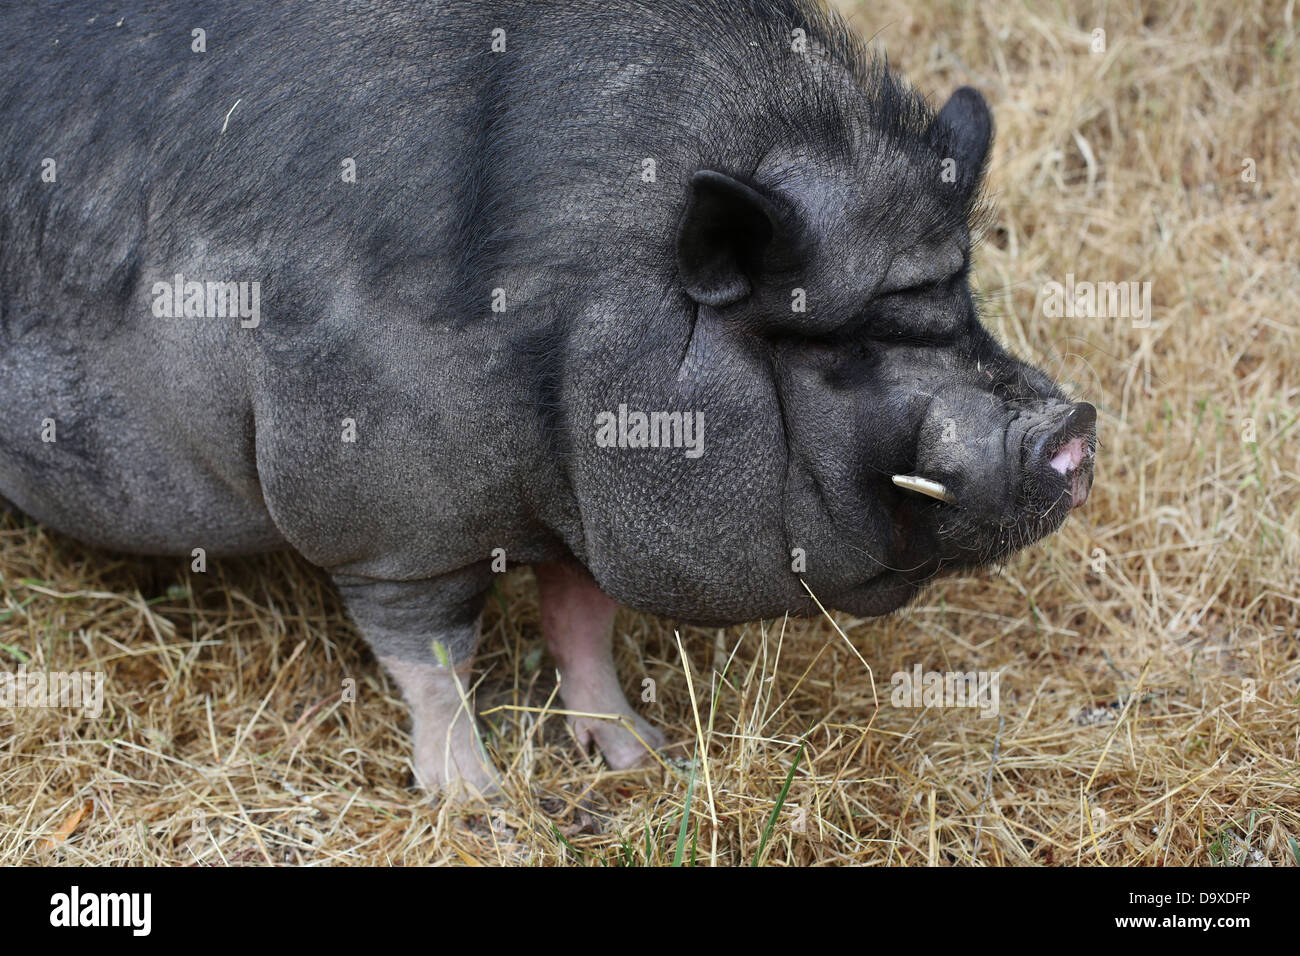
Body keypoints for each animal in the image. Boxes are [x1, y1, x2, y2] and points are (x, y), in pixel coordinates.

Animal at [0, 0, 1096, 797]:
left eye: (962, 303)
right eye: (845, 345)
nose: (1072, 425)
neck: (571, 318)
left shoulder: (585, 502)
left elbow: (582, 622)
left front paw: (644, 757)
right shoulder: (389, 522)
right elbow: (433, 657)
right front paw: (479, 802)